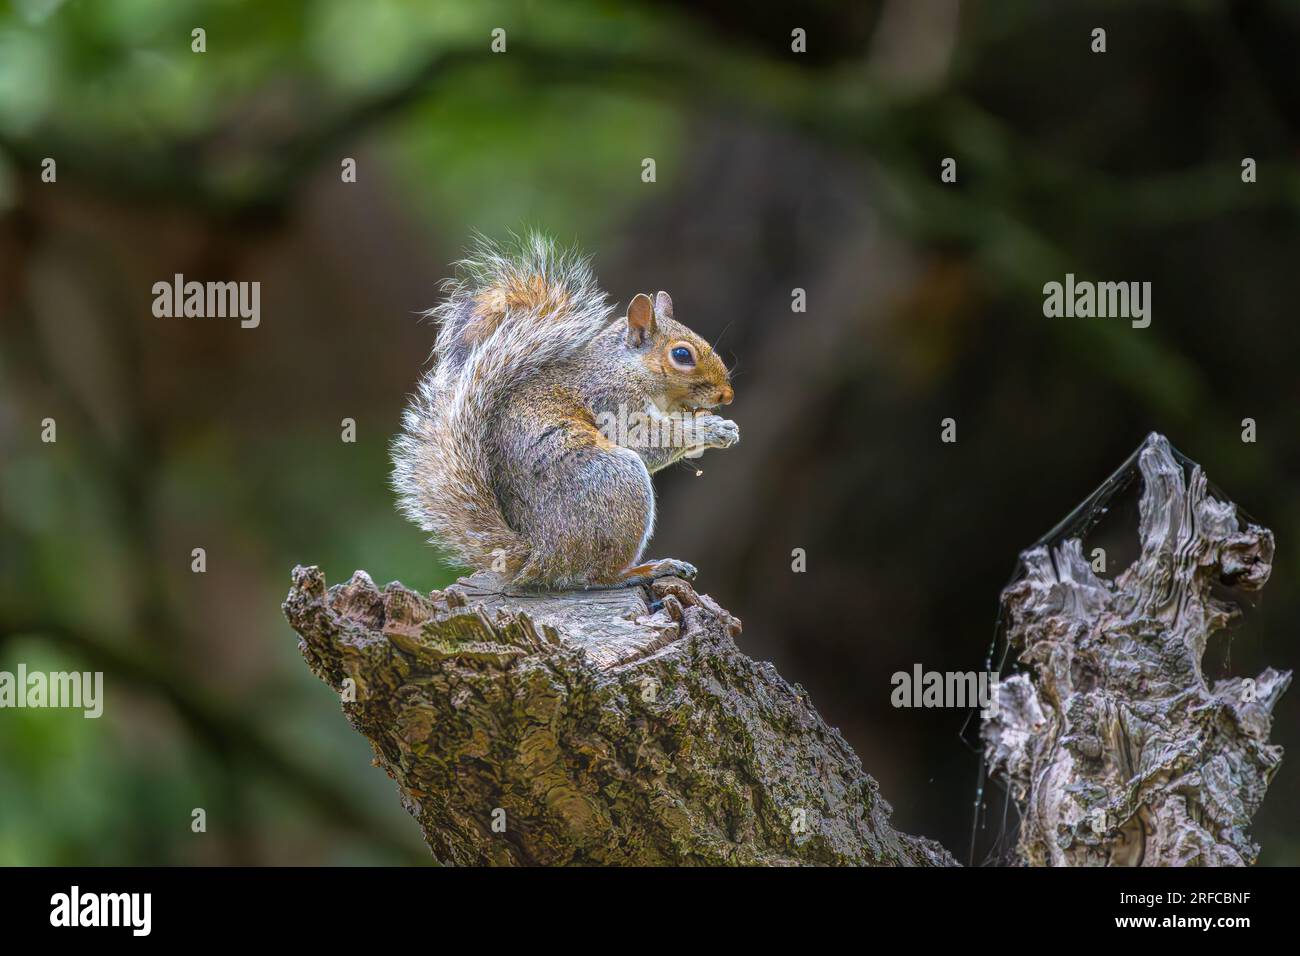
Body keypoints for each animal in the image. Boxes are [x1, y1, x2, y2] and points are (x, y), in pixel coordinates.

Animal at [391, 232, 739, 590]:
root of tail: (541, 555)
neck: (627, 367)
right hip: (616, 482)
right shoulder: (612, 400)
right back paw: (645, 570)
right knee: (596, 575)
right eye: (682, 355)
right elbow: (644, 439)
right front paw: (715, 429)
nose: (727, 395)